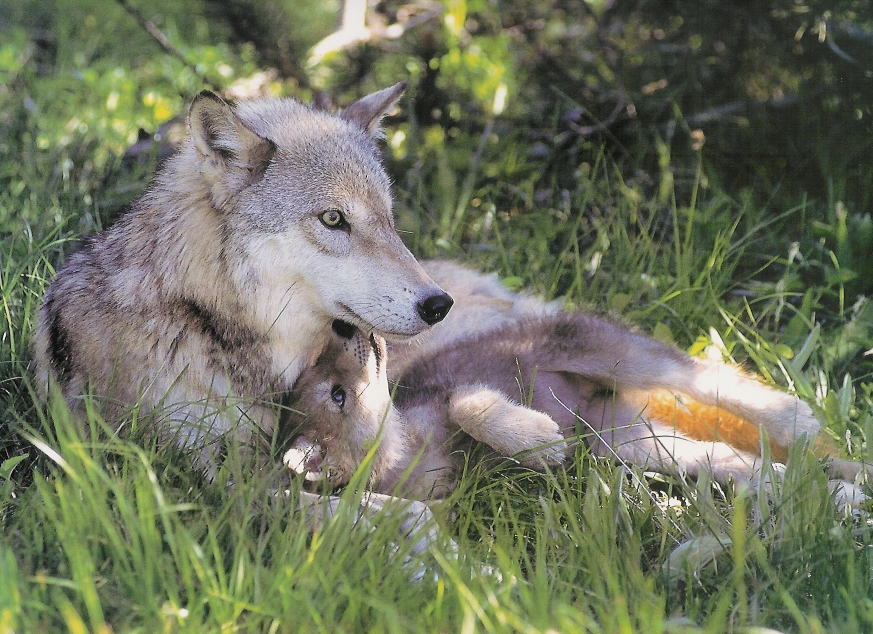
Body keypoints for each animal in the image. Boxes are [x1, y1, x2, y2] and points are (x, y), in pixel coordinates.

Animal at [284, 261, 866, 504]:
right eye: (336, 393)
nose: (346, 328)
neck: (412, 449)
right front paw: (544, 445)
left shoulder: (451, 392)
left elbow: (473, 406)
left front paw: (539, 442)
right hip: (637, 445)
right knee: (745, 465)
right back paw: (840, 493)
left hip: (607, 353)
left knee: (715, 380)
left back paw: (799, 421)